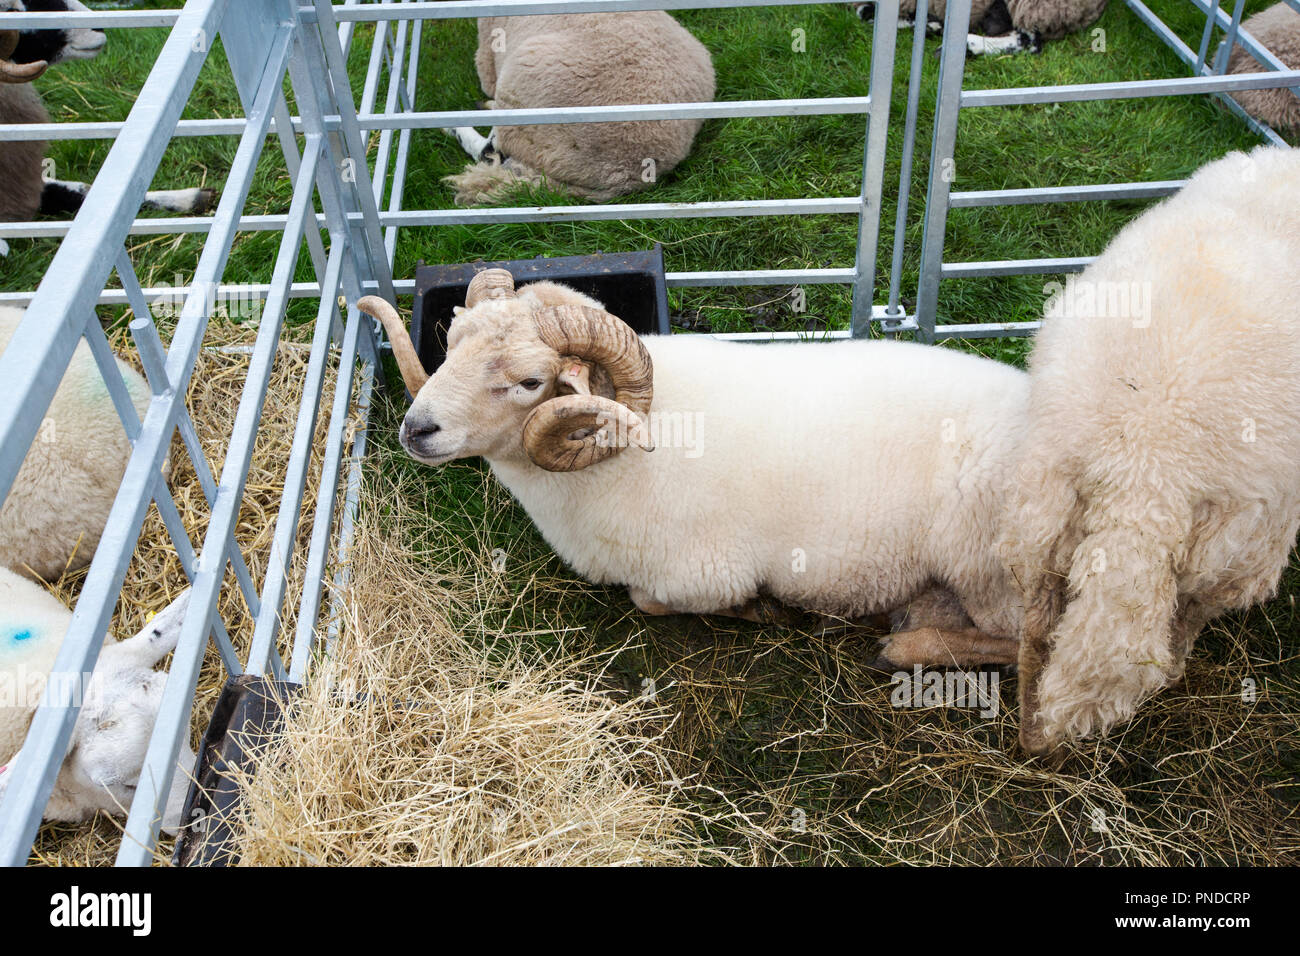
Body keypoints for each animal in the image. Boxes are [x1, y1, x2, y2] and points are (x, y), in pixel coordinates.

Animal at [356, 272, 1031, 672]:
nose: (416, 429)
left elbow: (648, 599)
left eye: (528, 381)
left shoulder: (699, 574)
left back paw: (907, 642)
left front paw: (765, 610)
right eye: (452, 344)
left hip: (989, 570)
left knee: (1029, 647)